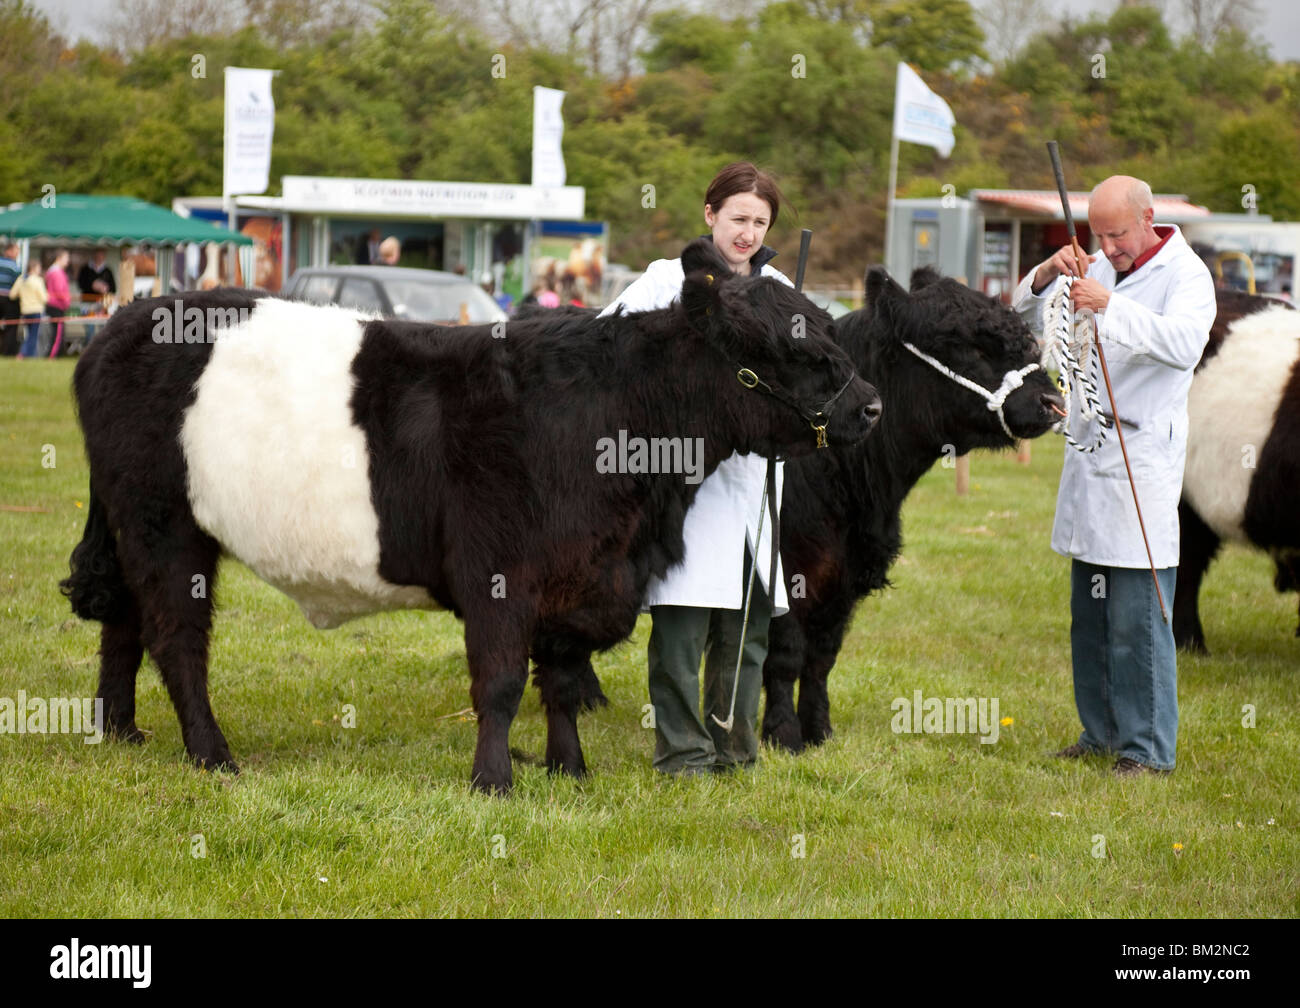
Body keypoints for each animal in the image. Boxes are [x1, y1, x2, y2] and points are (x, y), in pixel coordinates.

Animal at [59, 238, 881, 794]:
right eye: (782, 346)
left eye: (825, 324)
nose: (870, 405)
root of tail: (121, 324)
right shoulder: (500, 574)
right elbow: (500, 682)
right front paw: (494, 782)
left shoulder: (577, 575)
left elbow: (560, 679)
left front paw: (569, 770)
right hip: (166, 527)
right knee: (175, 638)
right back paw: (212, 753)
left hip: (138, 529)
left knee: (123, 622)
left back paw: (123, 731)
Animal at [760, 266, 1065, 752]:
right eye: (967, 345)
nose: (1053, 403)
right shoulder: (786, 564)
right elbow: (787, 652)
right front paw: (783, 735)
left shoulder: (845, 572)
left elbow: (822, 655)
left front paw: (819, 731)